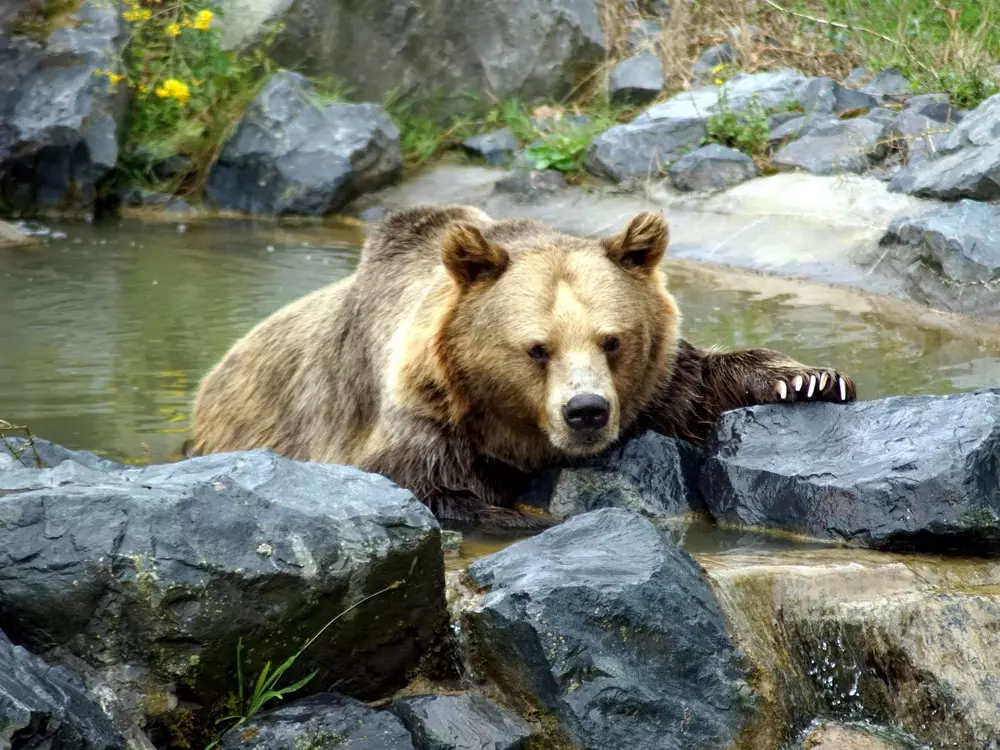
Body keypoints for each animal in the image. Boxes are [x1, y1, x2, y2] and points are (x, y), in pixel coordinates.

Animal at [189, 206, 860, 528]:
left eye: (612, 341)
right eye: (537, 348)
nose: (586, 411)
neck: (508, 426)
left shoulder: (653, 387)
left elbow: (696, 386)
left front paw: (807, 379)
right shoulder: (421, 421)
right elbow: (416, 486)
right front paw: (504, 512)